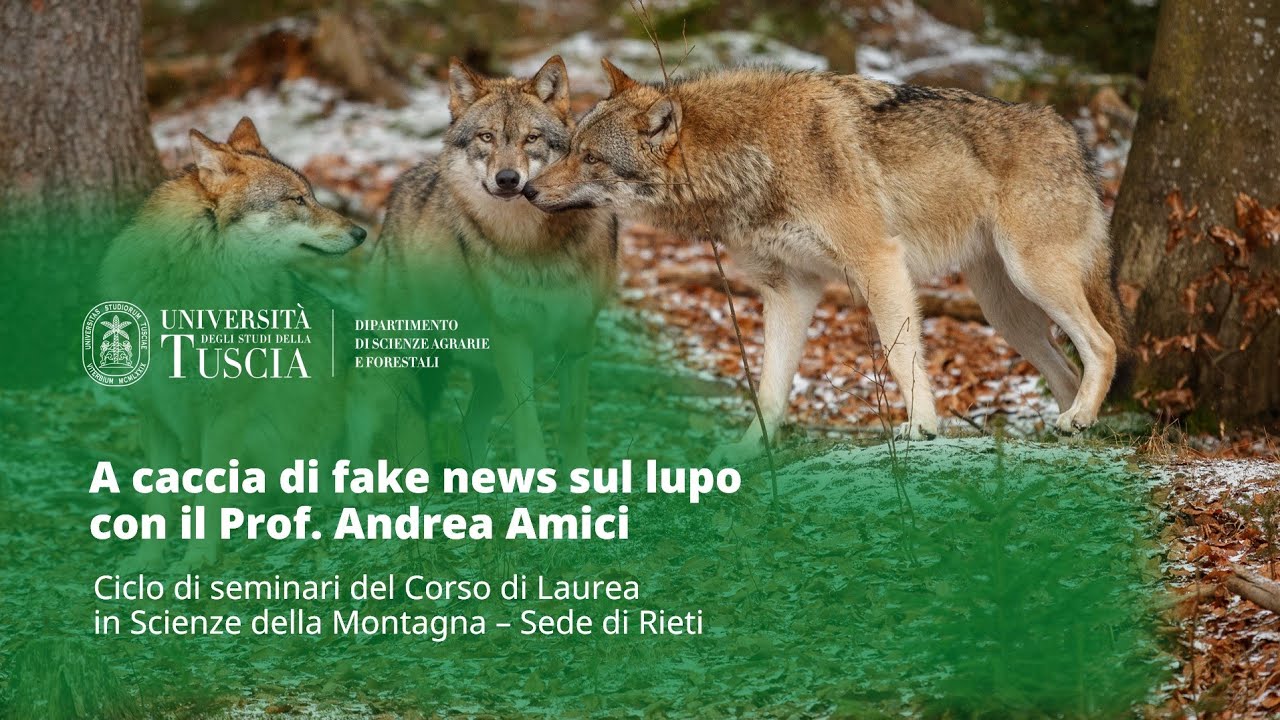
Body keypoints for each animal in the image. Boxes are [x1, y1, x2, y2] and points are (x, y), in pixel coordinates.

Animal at [102, 117, 366, 571]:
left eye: (312, 195)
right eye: (297, 199)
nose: (362, 232)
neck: (186, 298)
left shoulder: (225, 415)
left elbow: (207, 497)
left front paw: (198, 557)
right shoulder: (153, 413)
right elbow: (158, 502)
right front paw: (148, 559)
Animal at [365, 56, 617, 469]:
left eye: (531, 138)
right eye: (486, 137)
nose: (508, 179)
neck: (532, 244)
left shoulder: (579, 335)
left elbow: (572, 422)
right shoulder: (512, 336)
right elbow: (528, 425)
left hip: (484, 371)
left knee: (464, 428)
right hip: (412, 354)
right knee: (403, 422)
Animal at [523, 61, 1127, 462]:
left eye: (590, 158)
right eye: (568, 147)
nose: (526, 189)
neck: (753, 157)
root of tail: (1072, 136)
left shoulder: (878, 262)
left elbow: (901, 355)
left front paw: (922, 427)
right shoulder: (790, 290)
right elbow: (769, 390)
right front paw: (748, 452)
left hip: (1033, 279)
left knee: (1104, 345)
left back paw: (1079, 418)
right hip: (1006, 312)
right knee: (1068, 370)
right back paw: (1072, 431)